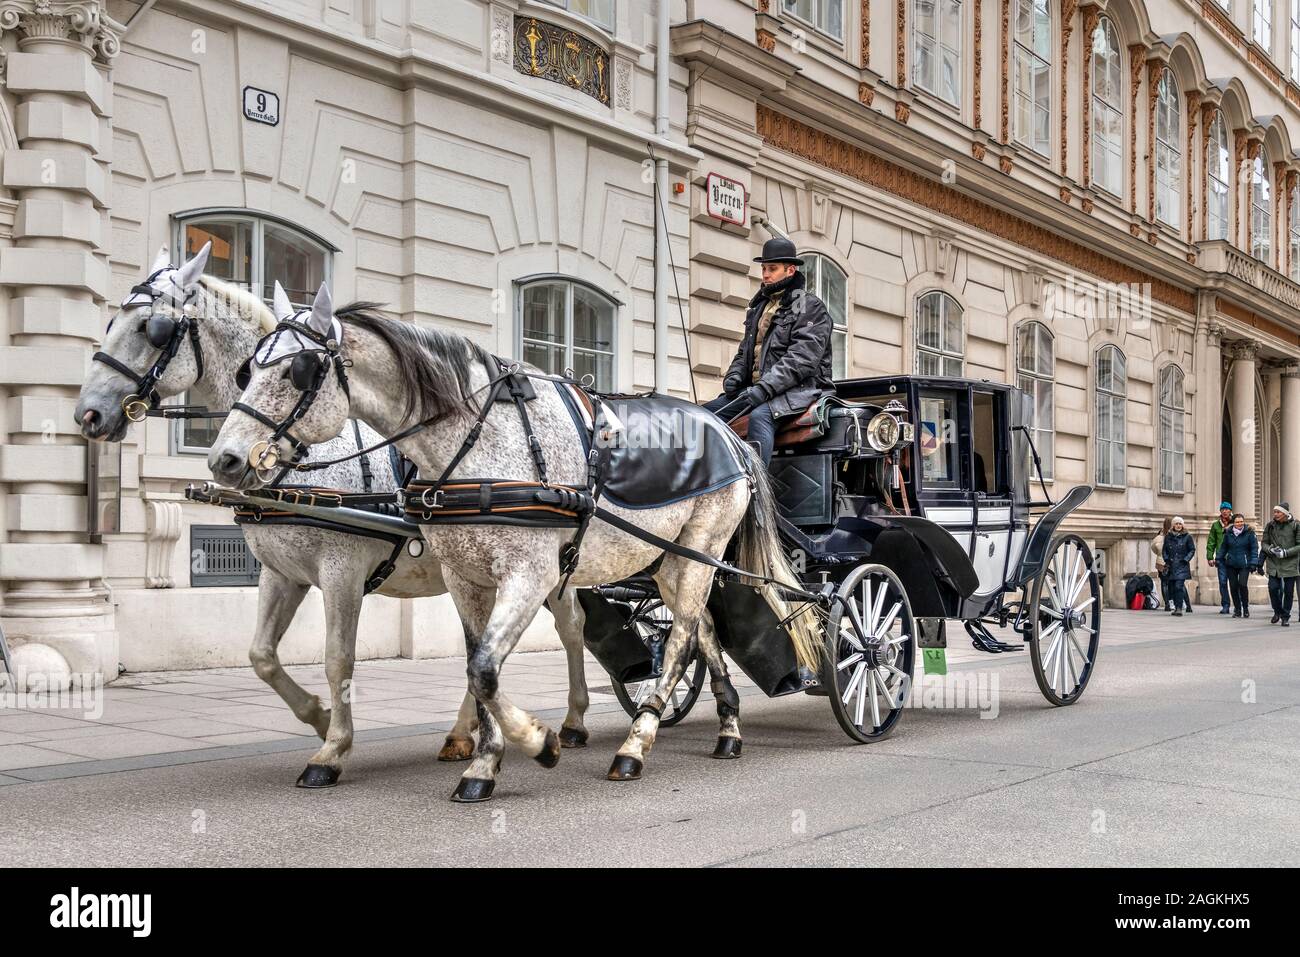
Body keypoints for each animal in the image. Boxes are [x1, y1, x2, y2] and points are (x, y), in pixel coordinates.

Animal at [73, 246, 595, 787]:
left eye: (150, 329)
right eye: (112, 321)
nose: (88, 414)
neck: (305, 459)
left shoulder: (341, 572)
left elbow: (337, 659)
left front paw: (333, 747)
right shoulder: (281, 573)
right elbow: (261, 656)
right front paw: (320, 717)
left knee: (570, 627)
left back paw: (572, 720)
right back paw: (464, 733)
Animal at [206, 282, 821, 802]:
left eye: (298, 372)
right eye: (246, 371)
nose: (224, 460)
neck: (476, 441)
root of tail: (727, 433)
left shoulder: (517, 574)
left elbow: (474, 668)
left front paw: (533, 741)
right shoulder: (461, 578)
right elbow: (474, 668)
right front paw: (484, 761)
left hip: (700, 547)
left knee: (677, 642)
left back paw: (634, 745)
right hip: (668, 559)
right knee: (702, 630)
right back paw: (726, 729)